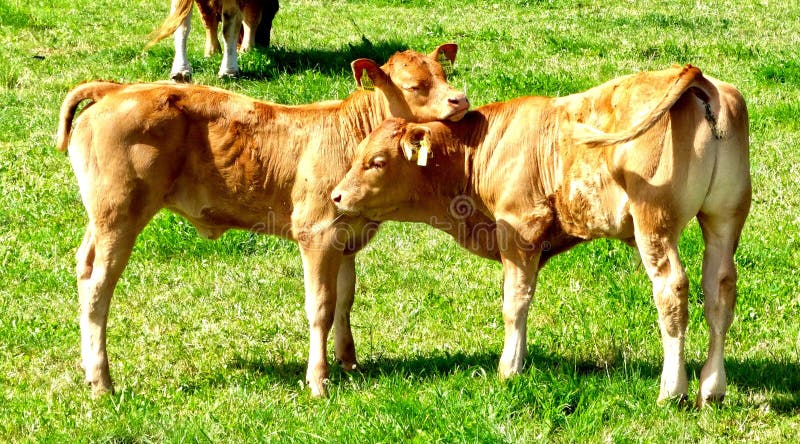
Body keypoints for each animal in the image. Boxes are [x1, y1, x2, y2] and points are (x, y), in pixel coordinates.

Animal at [56, 44, 469, 398]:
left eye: (443, 73)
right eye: (415, 85)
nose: (460, 99)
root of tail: (117, 88)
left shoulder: (348, 236)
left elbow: (345, 300)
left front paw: (349, 363)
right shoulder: (316, 232)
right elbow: (320, 306)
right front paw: (318, 381)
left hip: (101, 217)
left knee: (83, 269)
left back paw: (87, 369)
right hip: (119, 215)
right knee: (98, 288)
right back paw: (102, 382)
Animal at [331, 65, 751, 407]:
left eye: (377, 162)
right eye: (357, 154)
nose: (336, 195)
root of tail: (695, 76)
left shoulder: (518, 230)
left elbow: (515, 302)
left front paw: (509, 368)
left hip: (654, 224)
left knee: (672, 290)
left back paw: (672, 390)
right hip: (724, 217)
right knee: (719, 291)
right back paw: (712, 388)